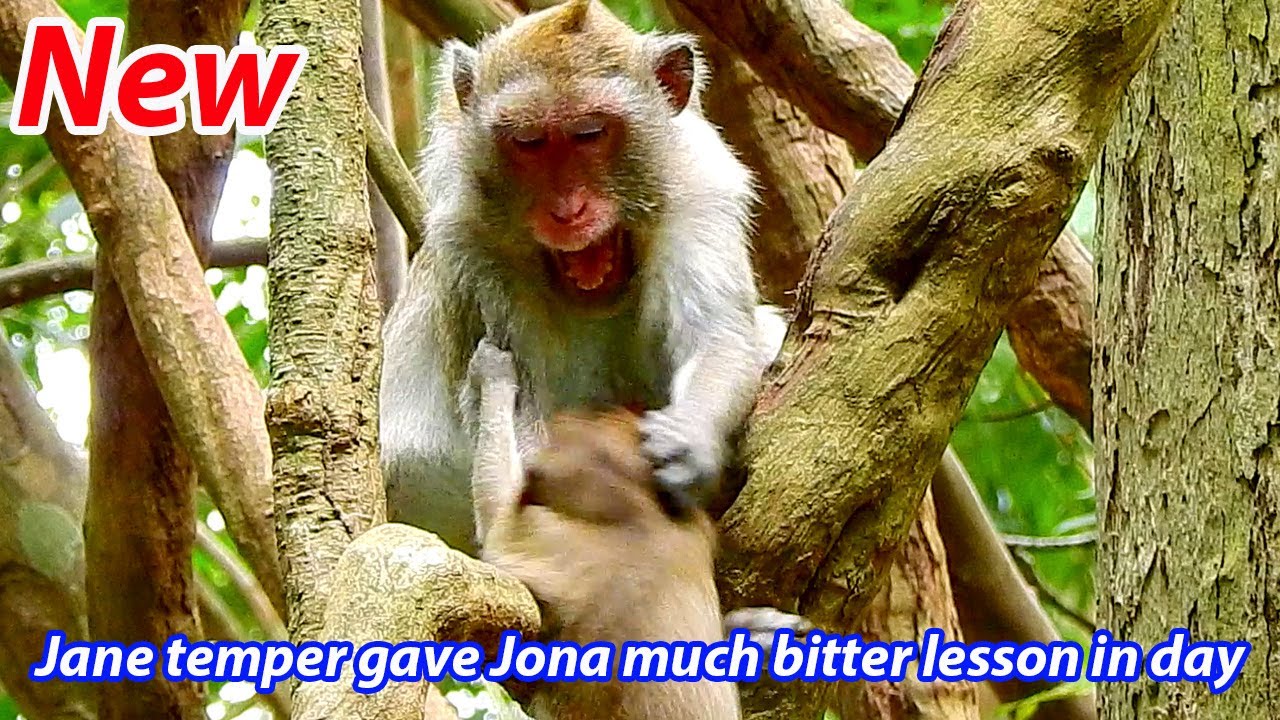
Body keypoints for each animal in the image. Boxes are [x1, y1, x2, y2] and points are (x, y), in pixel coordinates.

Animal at [379, 0, 787, 555]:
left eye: (590, 134)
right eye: (528, 142)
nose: (567, 210)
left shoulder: (701, 194)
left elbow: (719, 336)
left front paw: (689, 438)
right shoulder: (475, 251)